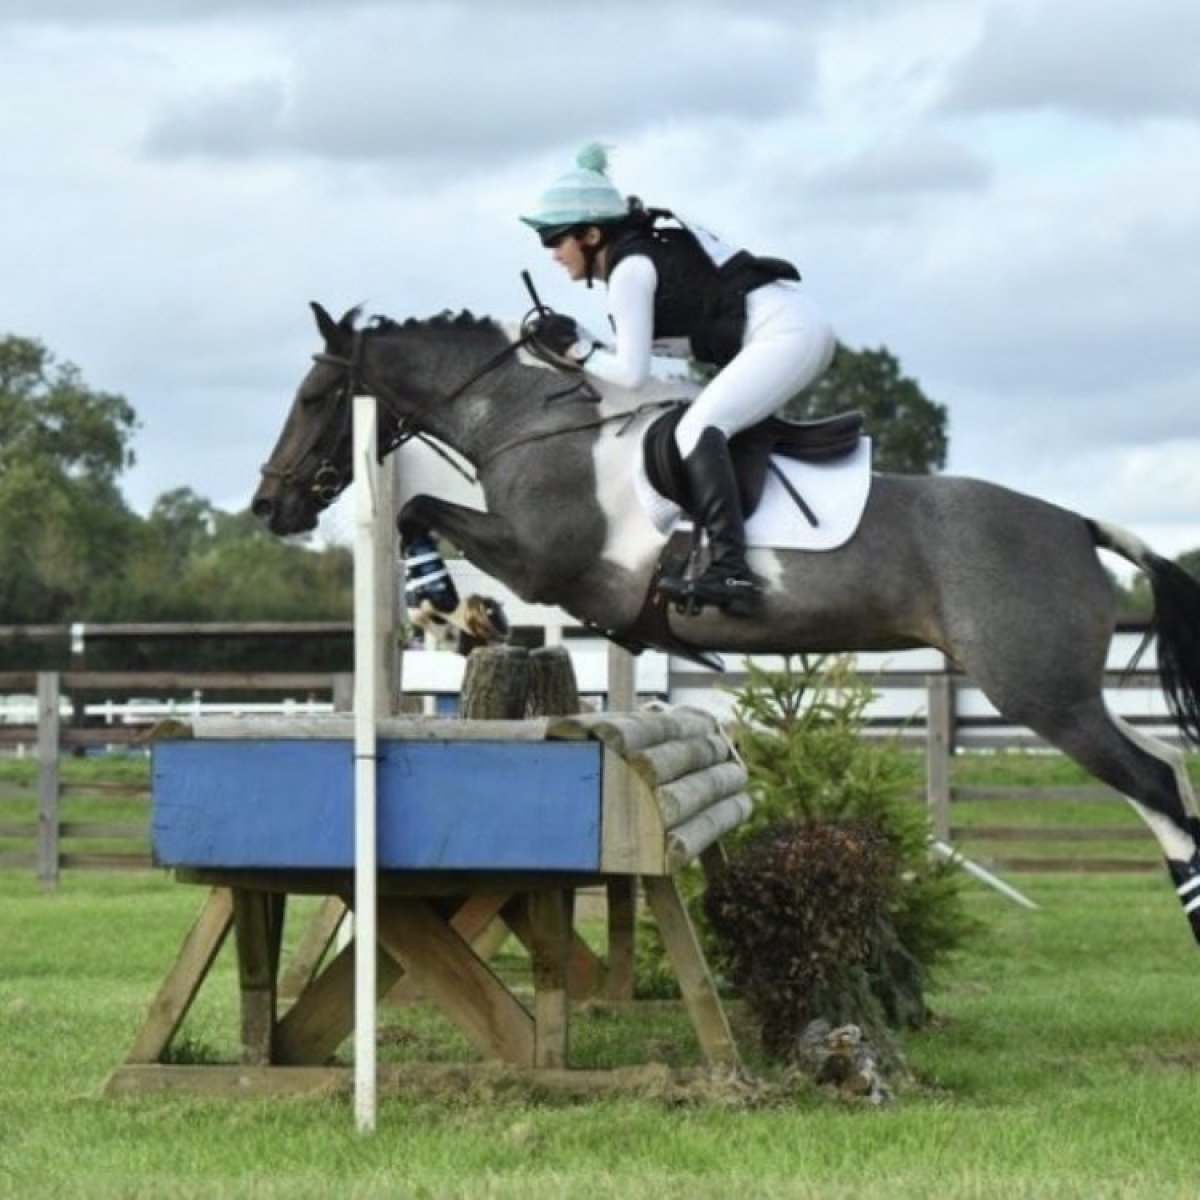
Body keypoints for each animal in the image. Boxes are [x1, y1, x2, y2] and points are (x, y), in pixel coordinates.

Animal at [253, 302, 1200, 944]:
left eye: (314, 396)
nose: (270, 507)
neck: (530, 426)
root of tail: (1079, 525)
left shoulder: (546, 562)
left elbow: (417, 507)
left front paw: (450, 607)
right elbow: (420, 511)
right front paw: (456, 616)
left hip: (1040, 693)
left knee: (1156, 786)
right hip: (1061, 695)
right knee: (1166, 772)